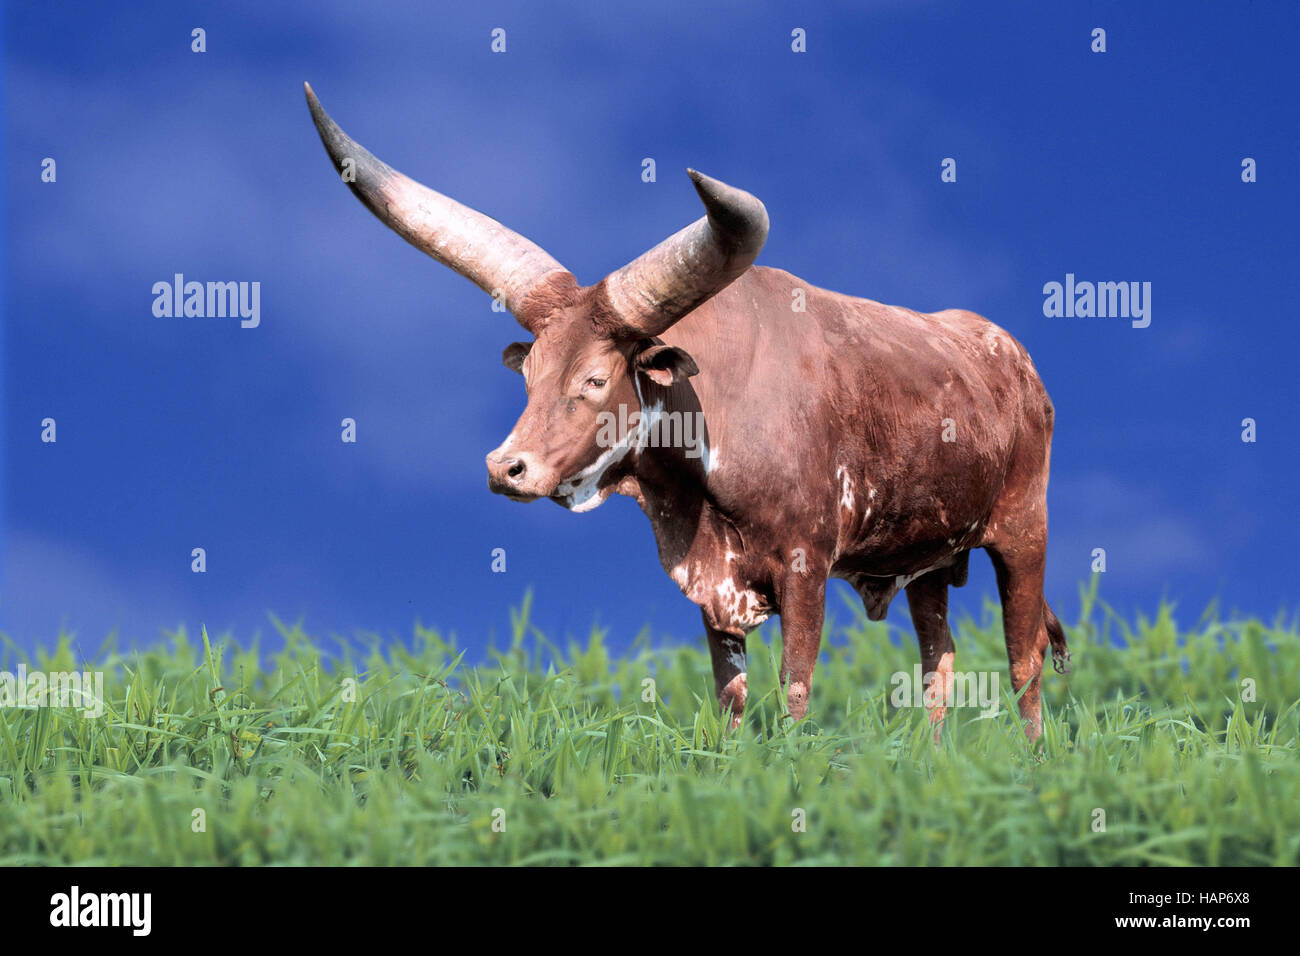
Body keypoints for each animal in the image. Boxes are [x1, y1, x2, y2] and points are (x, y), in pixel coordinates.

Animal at [305, 83, 1071, 740]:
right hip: (929, 560)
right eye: (527, 375)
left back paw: (1033, 760)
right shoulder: (713, 591)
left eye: (595, 378)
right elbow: (731, 698)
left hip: (1022, 532)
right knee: (938, 662)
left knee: (1025, 658)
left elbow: (796, 687)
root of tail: (1012, 357)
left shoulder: (805, 566)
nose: (506, 468)